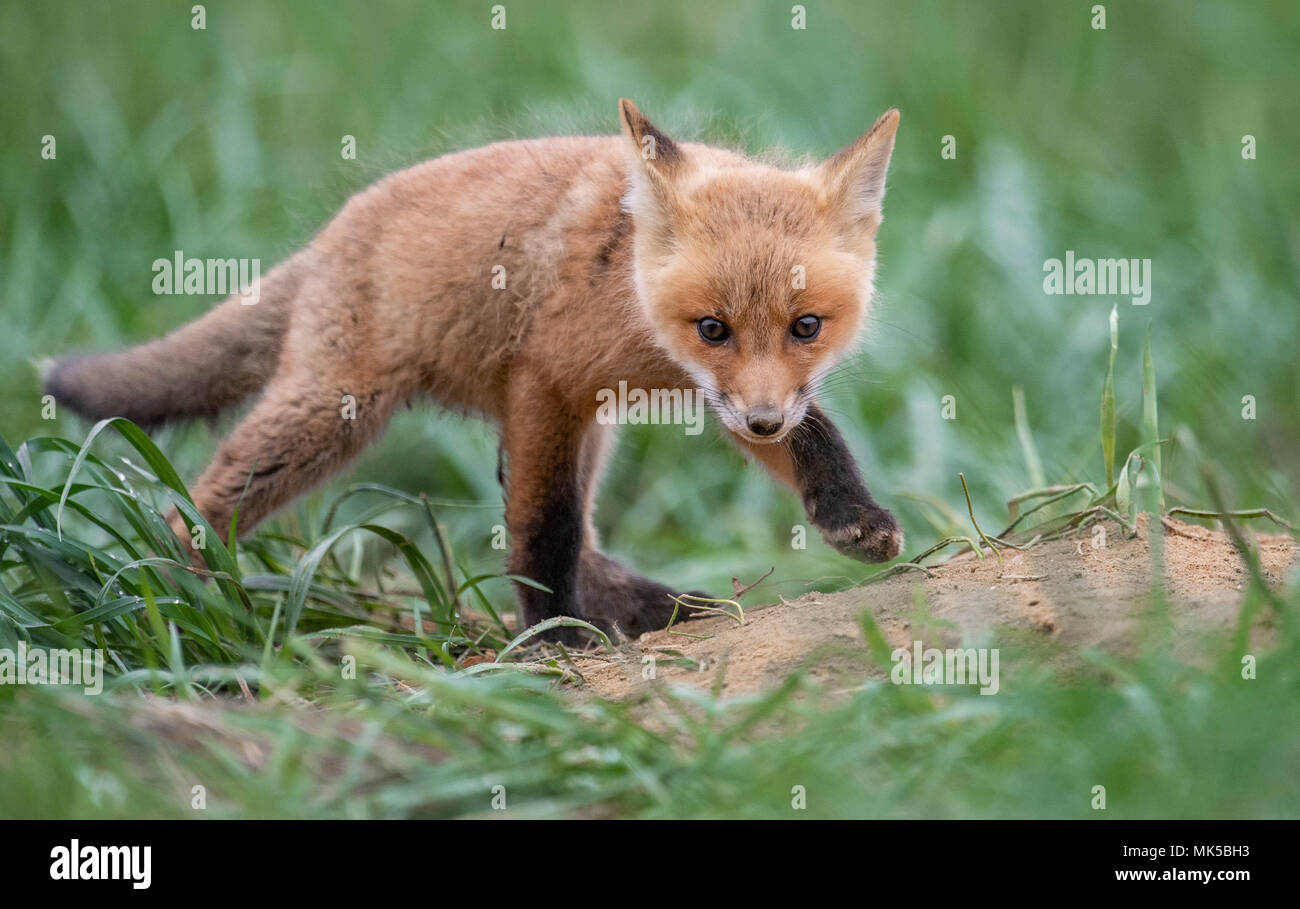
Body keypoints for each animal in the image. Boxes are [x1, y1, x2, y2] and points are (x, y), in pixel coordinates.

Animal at [43, 99, 905, 639]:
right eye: (713, 327)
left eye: (805, 326)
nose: (762, 421)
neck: (633, 308)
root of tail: (330, 233)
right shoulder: (546, 388)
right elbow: (542, 528)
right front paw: (552, 640)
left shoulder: (724, 394)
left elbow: (815, 434)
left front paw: (851, 516)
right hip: (335, 411)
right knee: (197, 503)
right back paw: (183, 593)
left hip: (587, 429)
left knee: (592, 538)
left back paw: (655, 606)